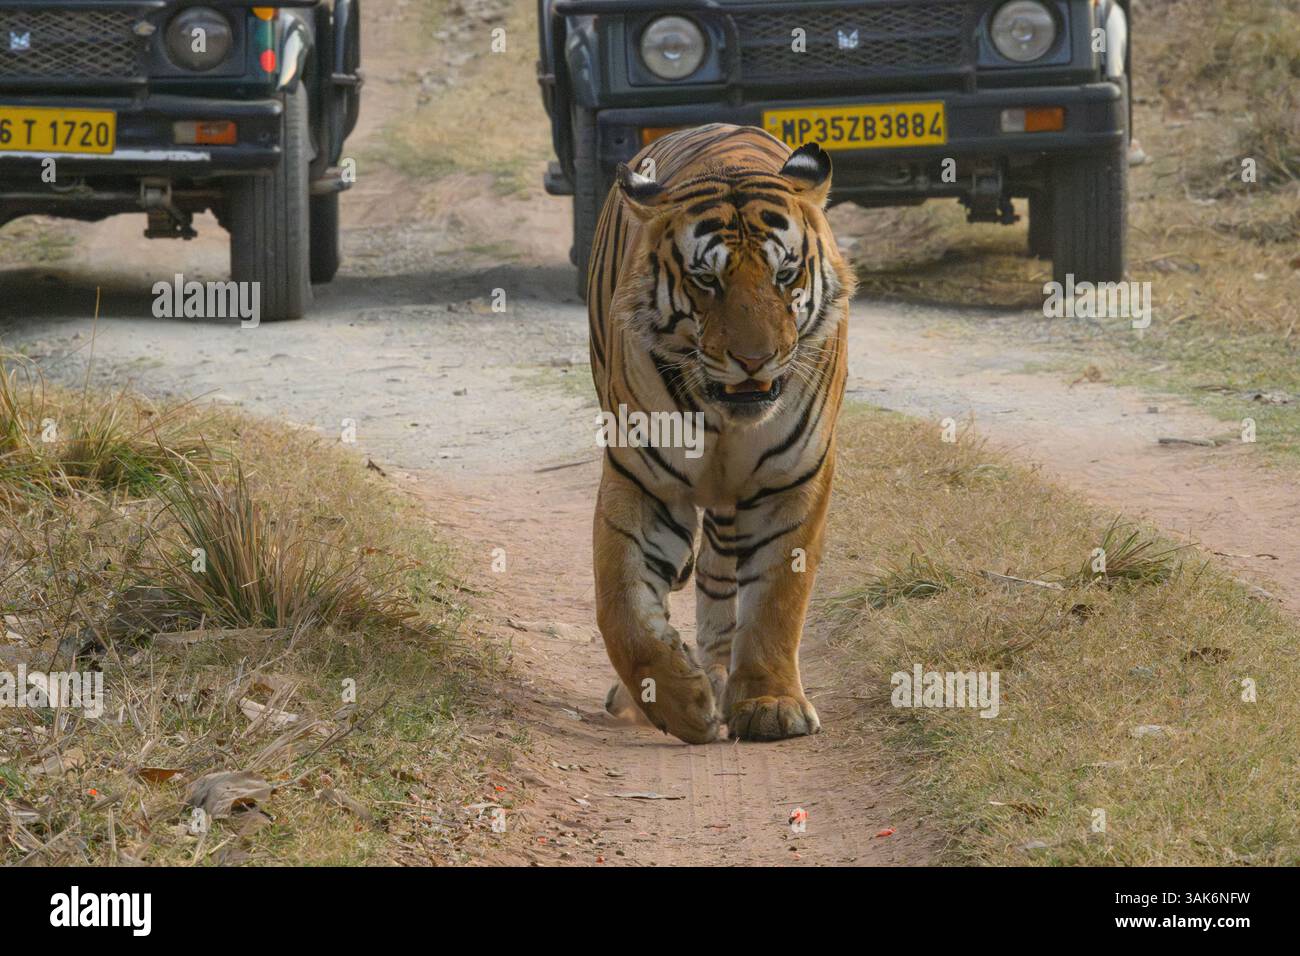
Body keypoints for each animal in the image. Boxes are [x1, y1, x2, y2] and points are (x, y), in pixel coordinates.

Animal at [587, 123, 856, 744]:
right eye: (706, 280)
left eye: (785, 275)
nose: (754, 360)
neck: (726, 418)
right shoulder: (643, 481)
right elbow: (621, 606)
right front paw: (679, 703)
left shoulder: (791, 480)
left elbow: (777, 598)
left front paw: (770, 704)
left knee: (719, 576)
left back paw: (717, 671)